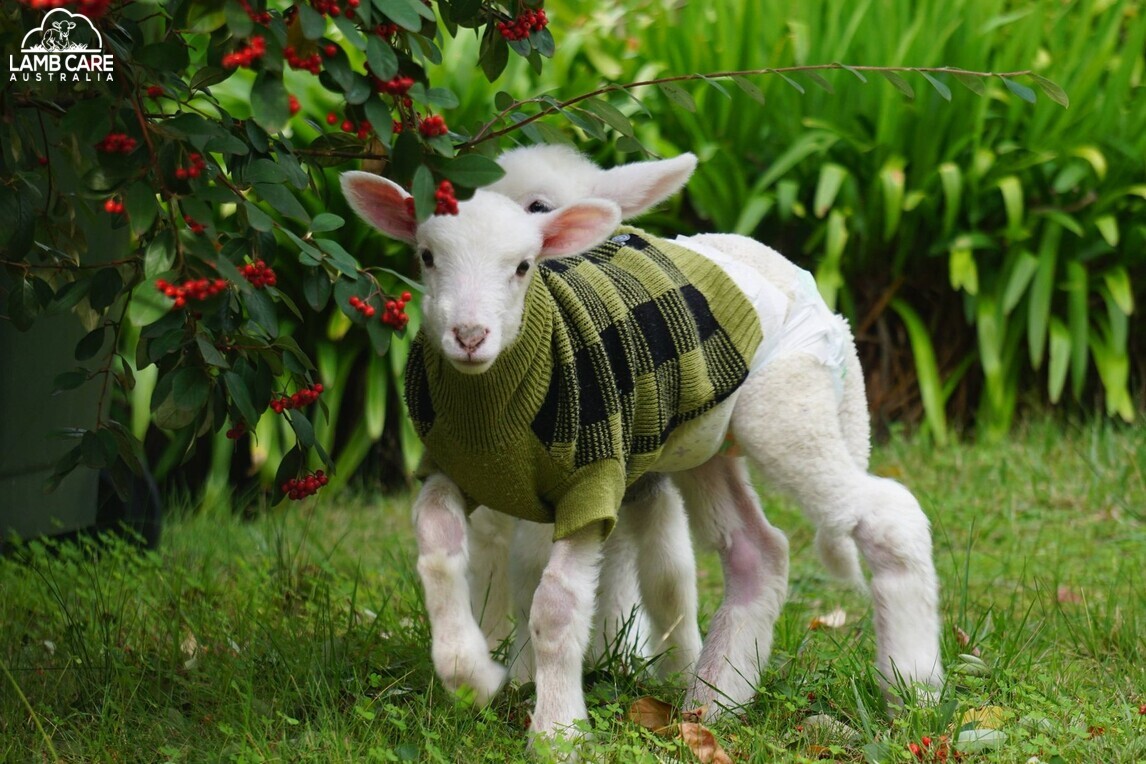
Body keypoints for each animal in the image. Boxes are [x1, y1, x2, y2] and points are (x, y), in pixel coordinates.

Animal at [340, 171, 944, 749]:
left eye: (522, 266)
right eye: (426, 256)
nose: (469, 336)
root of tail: (817, 296)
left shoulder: (592, 484)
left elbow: (555, 607)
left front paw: (558, 734)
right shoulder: (456, 471)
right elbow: (436, 547)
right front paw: (471, 676)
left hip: (783, 407)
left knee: (890, 515)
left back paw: (913, 690)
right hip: (703, 441)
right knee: (759, 551)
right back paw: (714, 703)